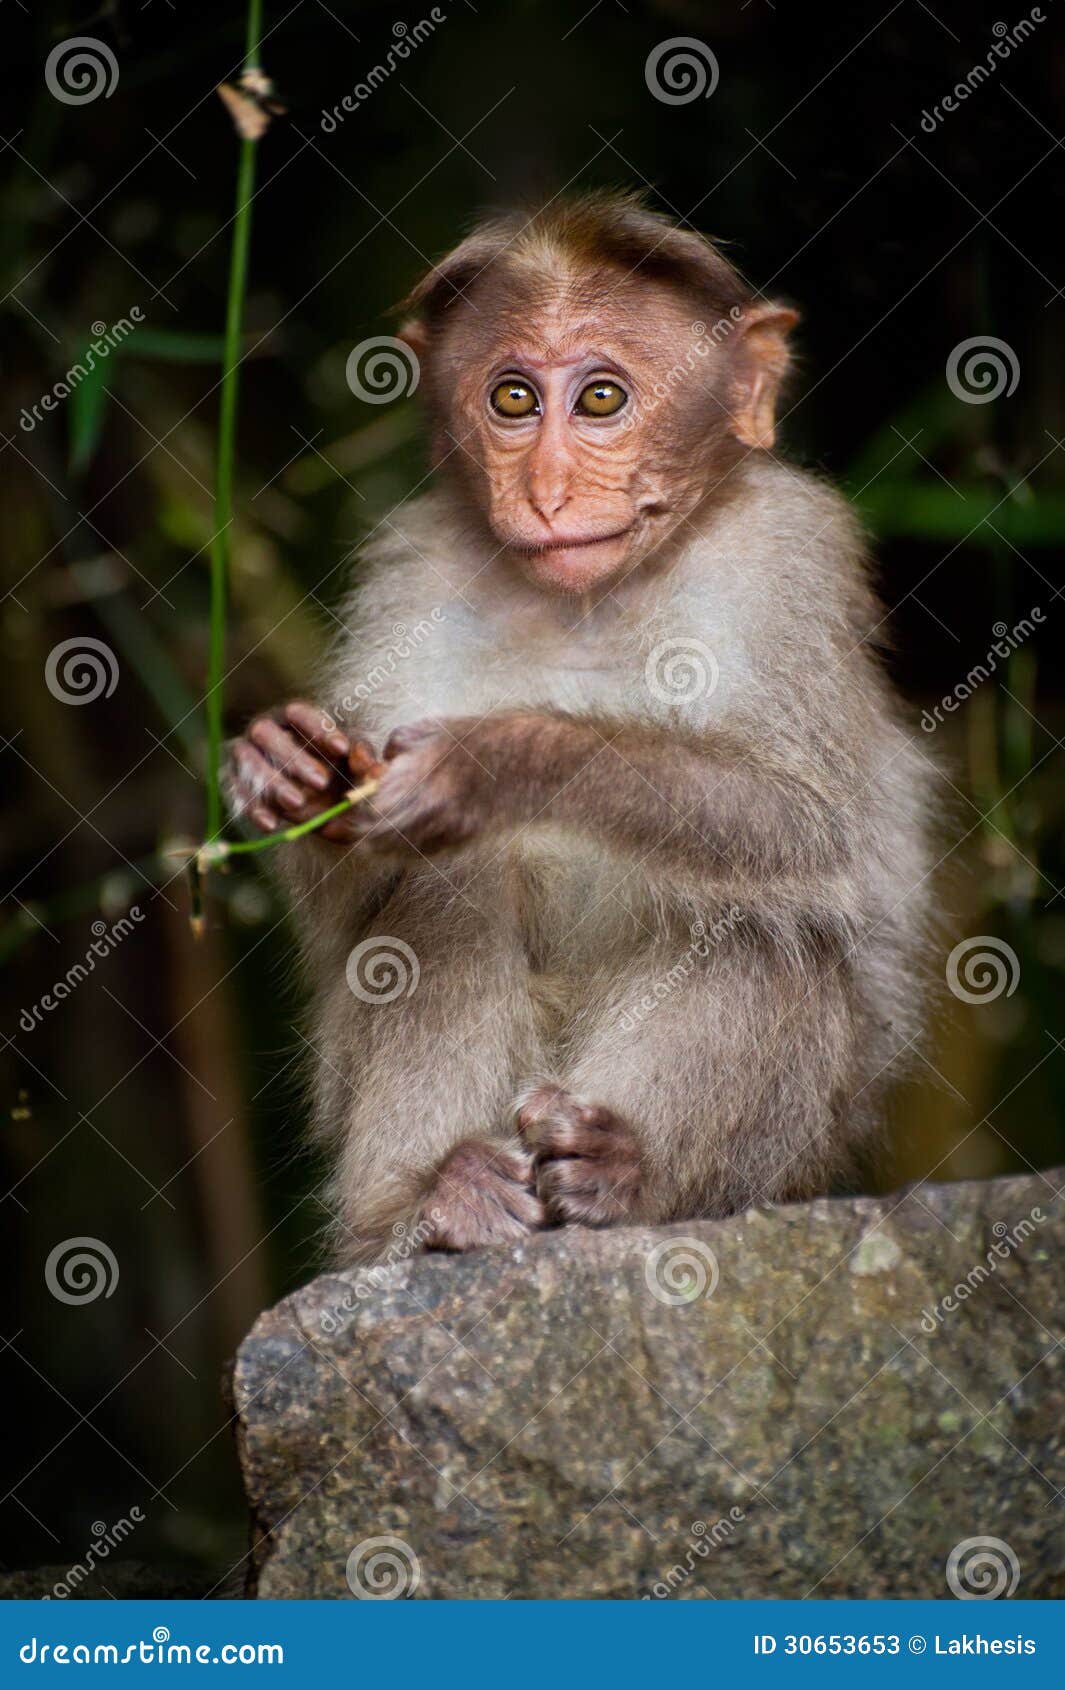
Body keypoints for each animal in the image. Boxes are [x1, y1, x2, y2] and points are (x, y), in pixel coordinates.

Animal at [225, 191, 932, 1266]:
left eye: (600, 400)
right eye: (513, 400)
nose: (547, 490)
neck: (592, 599)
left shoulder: (790, 550)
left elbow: (813, 824)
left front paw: (500, 760)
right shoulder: (406, 568)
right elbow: (349, 908)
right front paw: (283, 770)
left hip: (780, 1154)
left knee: (767, 918)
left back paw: (625, 1175)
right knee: (450, 890)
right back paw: (433, 1205)